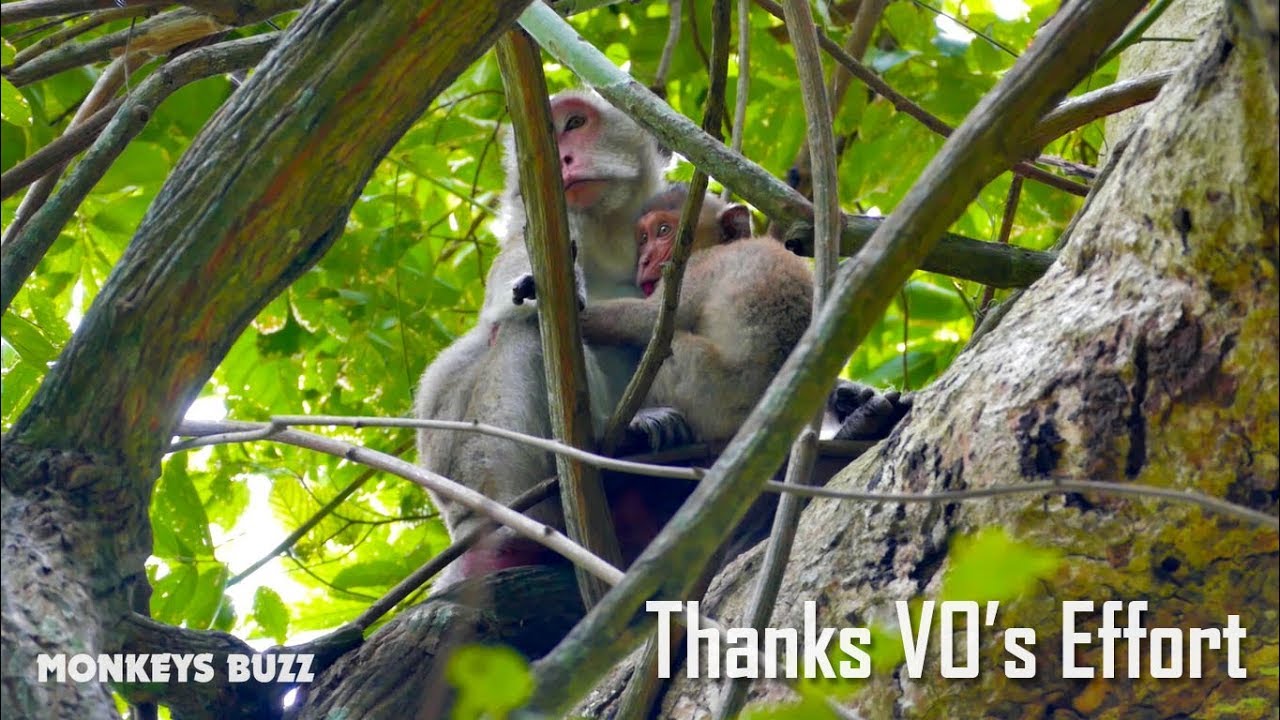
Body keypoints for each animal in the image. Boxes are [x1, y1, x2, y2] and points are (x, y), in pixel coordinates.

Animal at [414, 90, 671, 586]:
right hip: (487, 473)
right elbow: (516, 306)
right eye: (548, 131)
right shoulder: (541, 231)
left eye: (575, 123)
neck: (608, 240)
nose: (564, 159)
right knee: (527, 333)